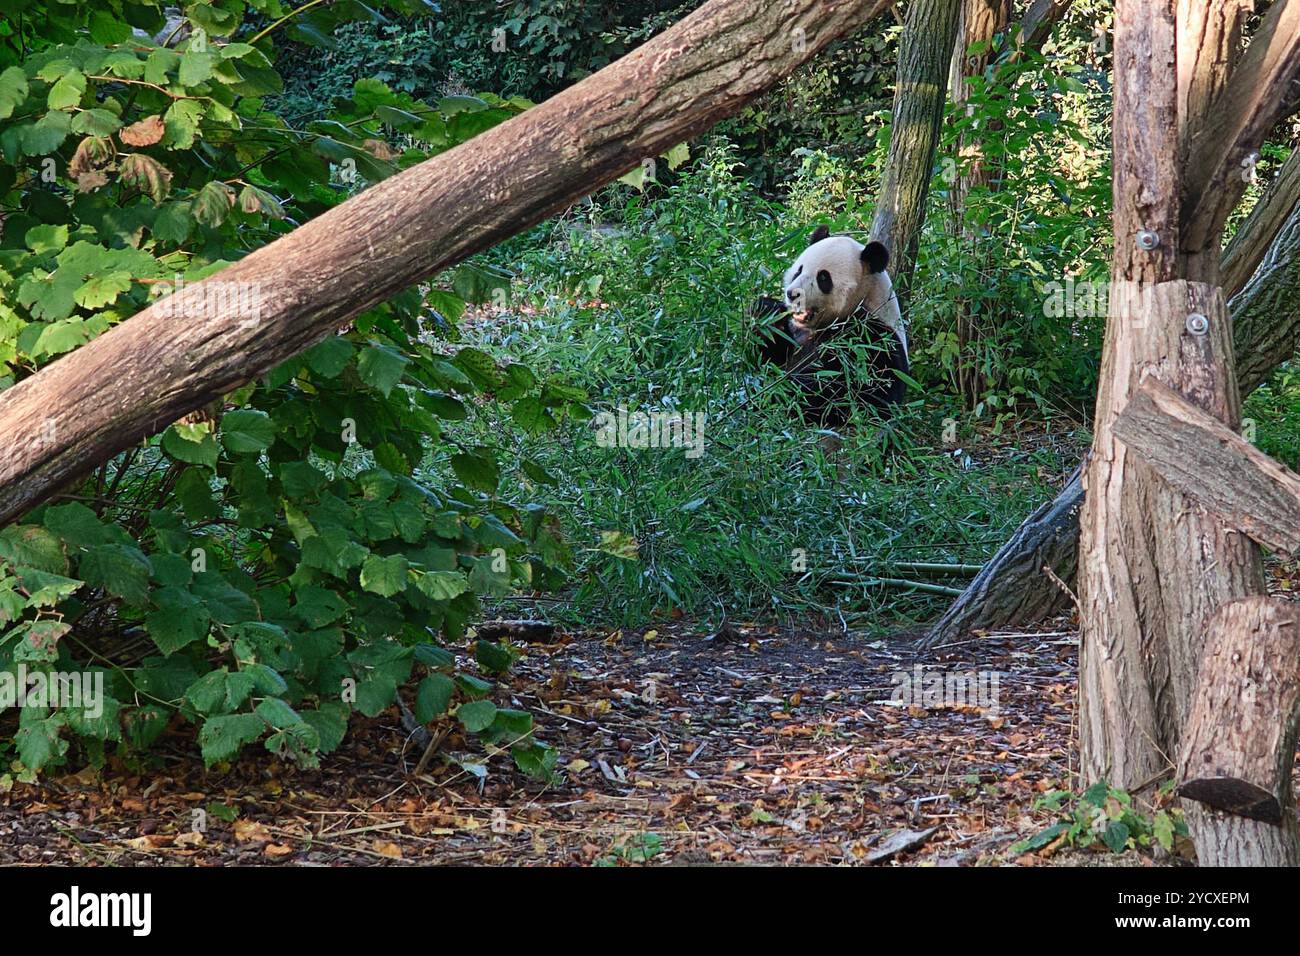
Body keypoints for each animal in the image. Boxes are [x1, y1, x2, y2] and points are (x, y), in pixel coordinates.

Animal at [752, 225, 909, 427]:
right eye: (799, 270)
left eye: (823, 278)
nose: (792, 294)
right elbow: (769, 356)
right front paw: (766, 311)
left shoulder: (870, 342)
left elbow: (831, 391)